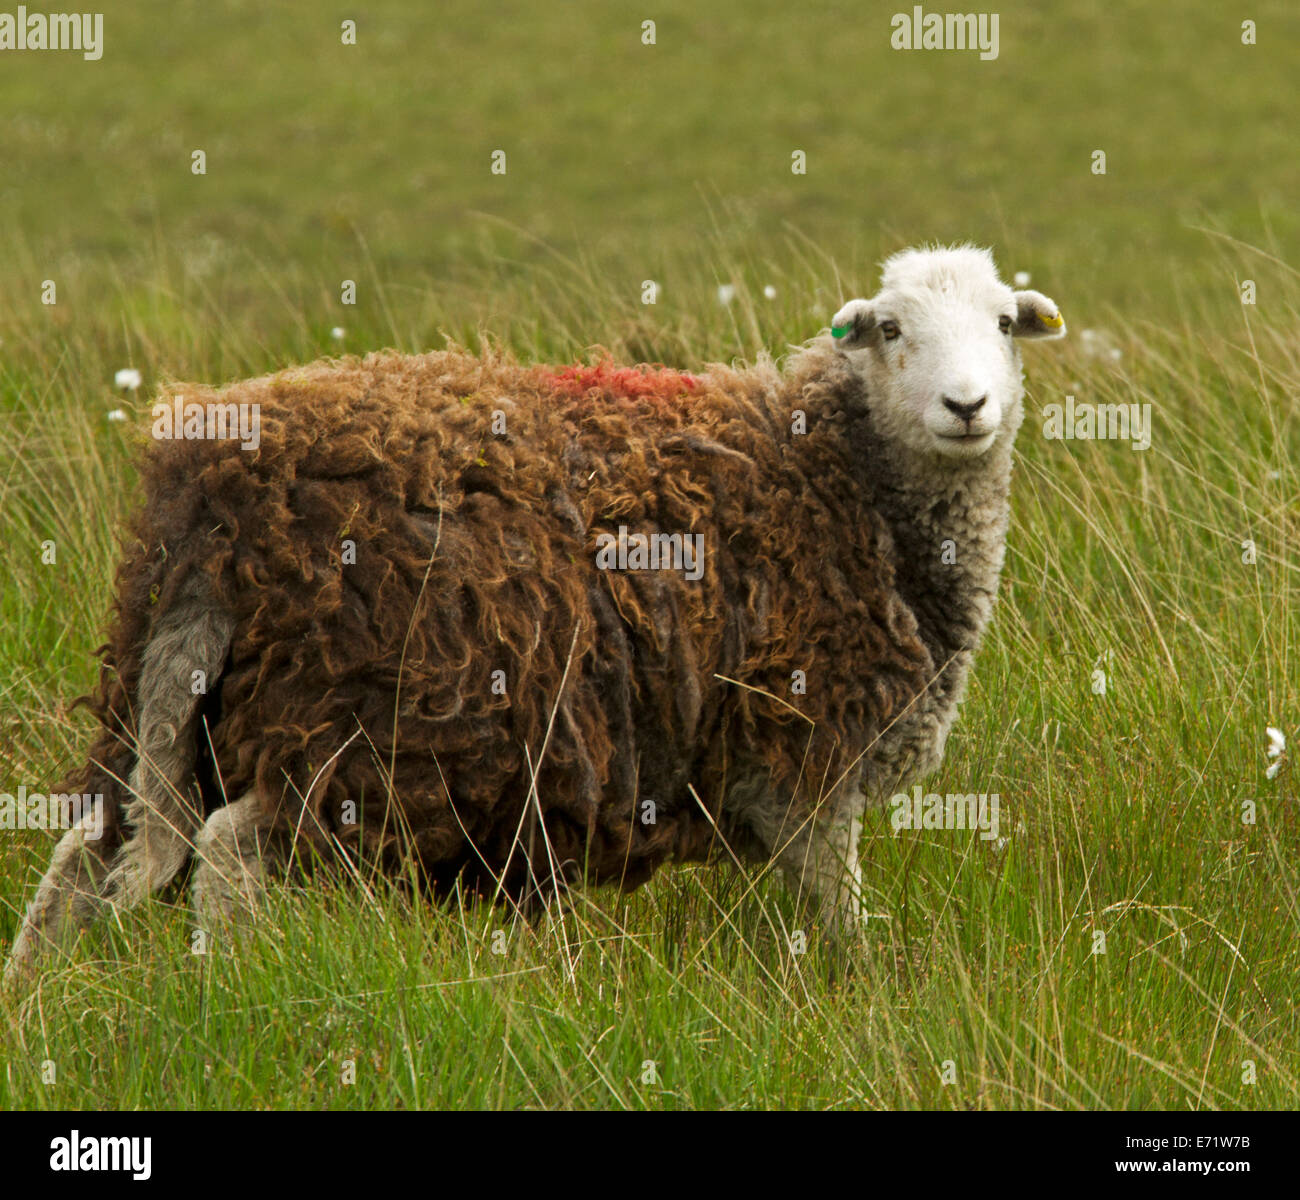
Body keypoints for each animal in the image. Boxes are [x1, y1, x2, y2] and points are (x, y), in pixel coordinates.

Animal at [5, 244, 1065, 981]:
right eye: (890, 330)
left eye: (1004, 322)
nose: (968, 406)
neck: (838, 477)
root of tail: (217, 499)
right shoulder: (803, 760)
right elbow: (841, 918)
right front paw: (865, 997)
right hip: (357, 727)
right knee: (225, 855)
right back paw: (227, 995)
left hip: (173, 701)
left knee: (81, 858)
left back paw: (34, 1007)